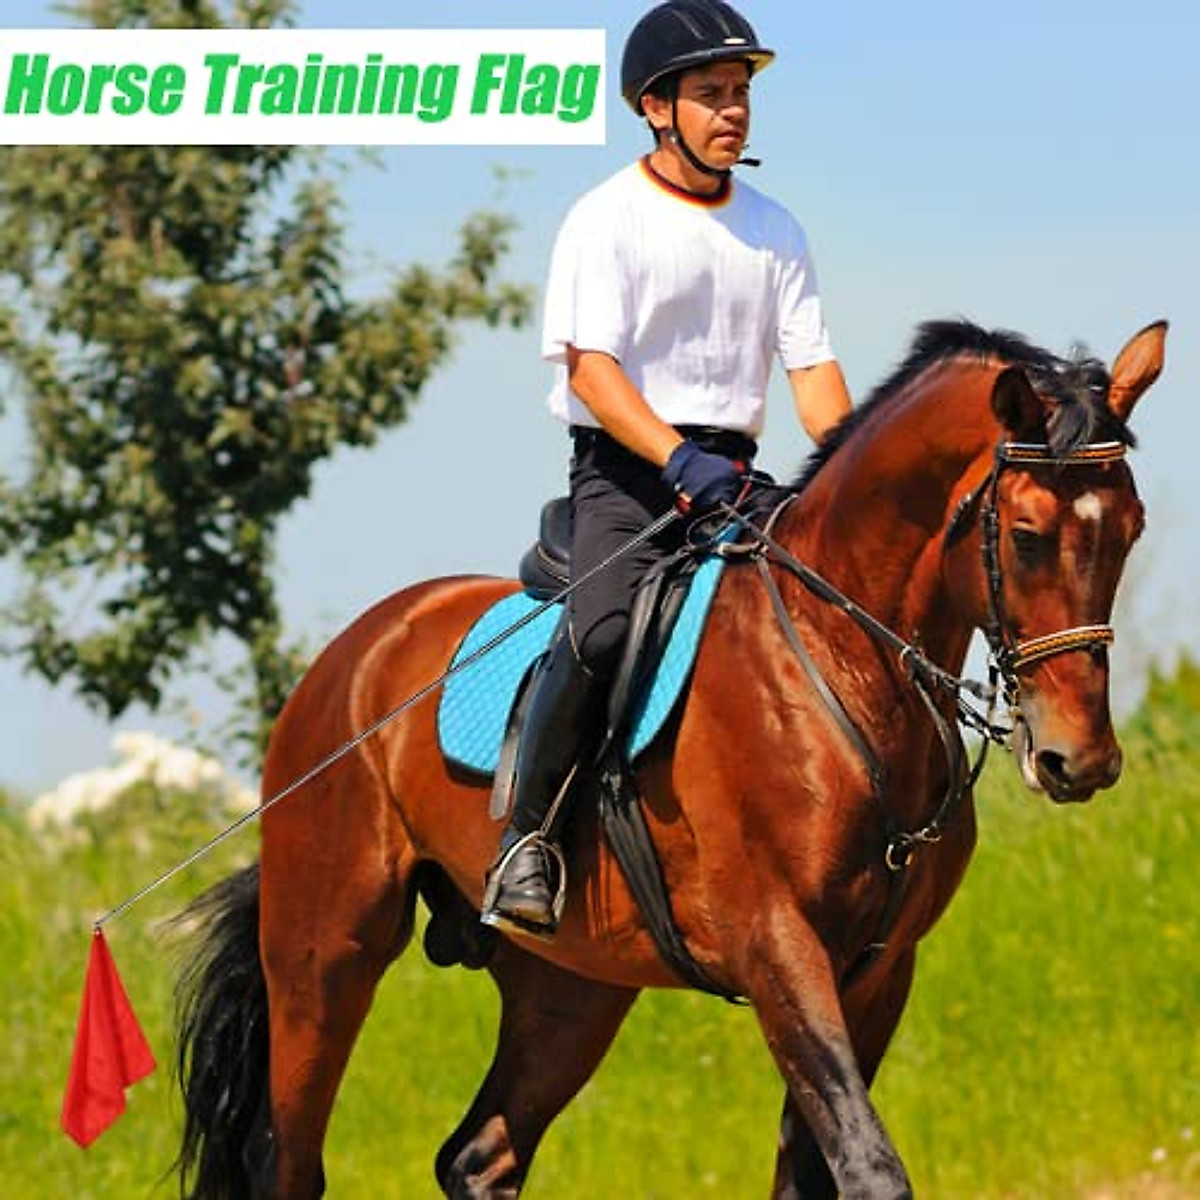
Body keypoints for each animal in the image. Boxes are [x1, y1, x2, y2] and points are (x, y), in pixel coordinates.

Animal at [173, 317, 1165, 1199]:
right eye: (1027, 536)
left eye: (1131, 529)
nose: (1080, 760)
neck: (835, 659)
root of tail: (352, 655)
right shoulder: (779, 949)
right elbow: (870, 1168)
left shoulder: (880, 970)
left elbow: (813, 1172)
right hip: (326, 956)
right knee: (290, 1160)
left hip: (571, 990)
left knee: (479, 1156)